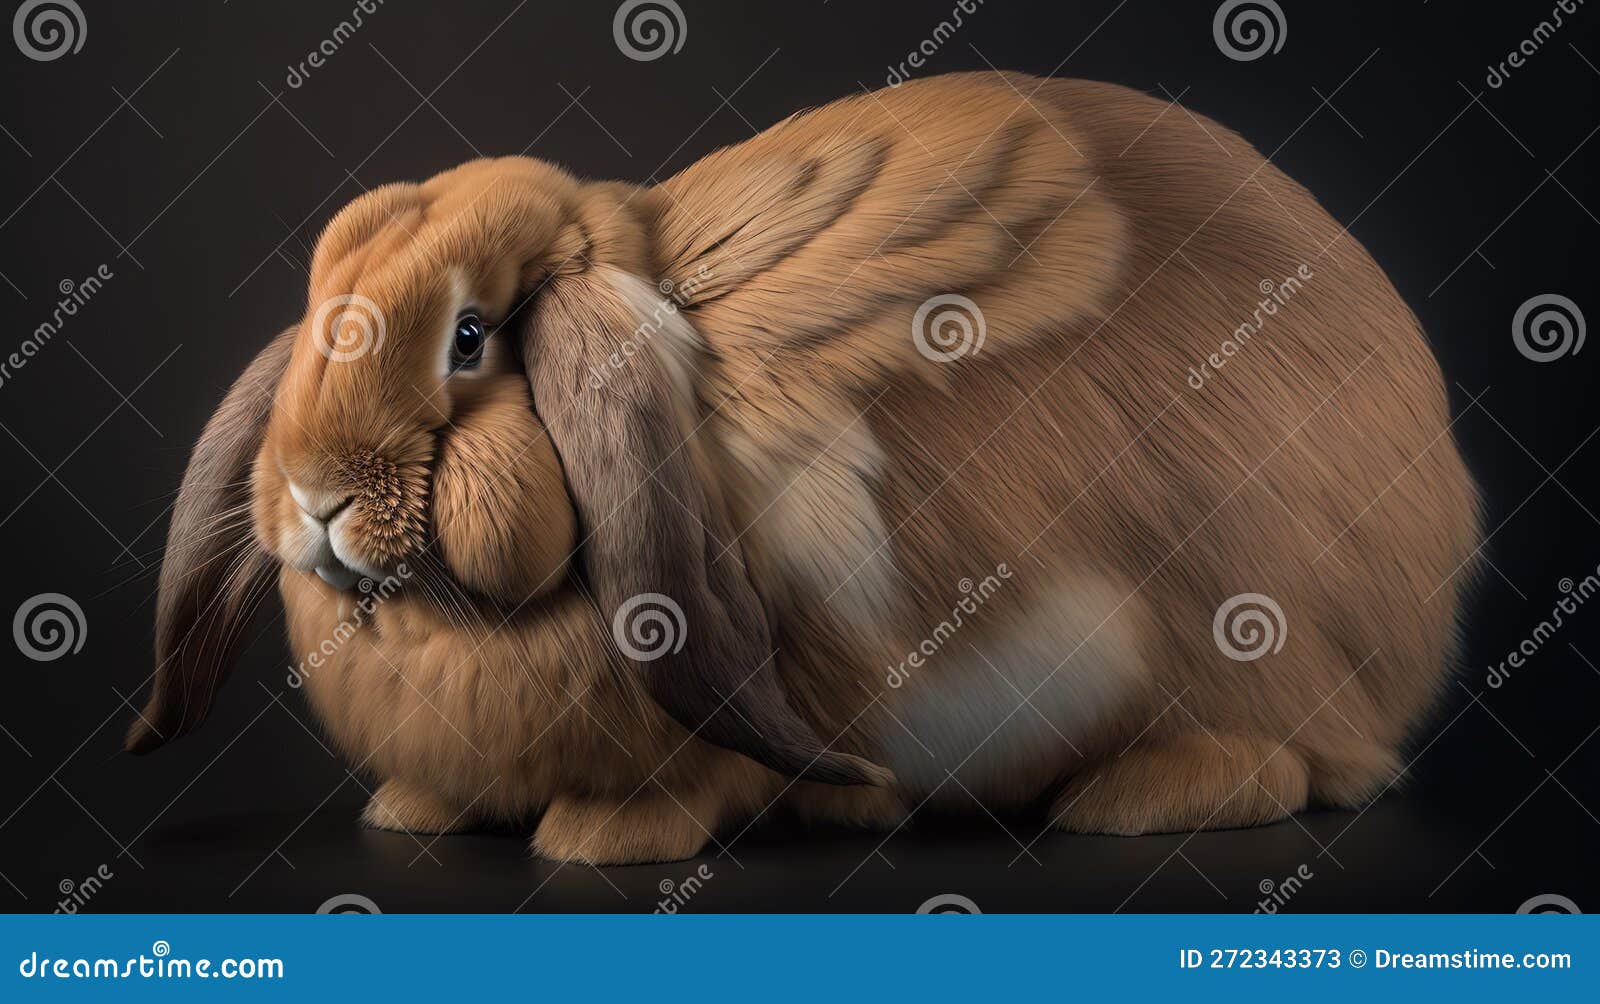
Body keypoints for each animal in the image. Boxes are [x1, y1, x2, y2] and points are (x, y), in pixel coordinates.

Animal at [126, 72, 1481, 864]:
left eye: (469, 337)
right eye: (319, 308)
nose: (313, 495)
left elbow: (676, 786)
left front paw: (595, 840)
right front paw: (410, 814)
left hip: (1241, 640)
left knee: (1290, 761)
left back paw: (1127, 796)